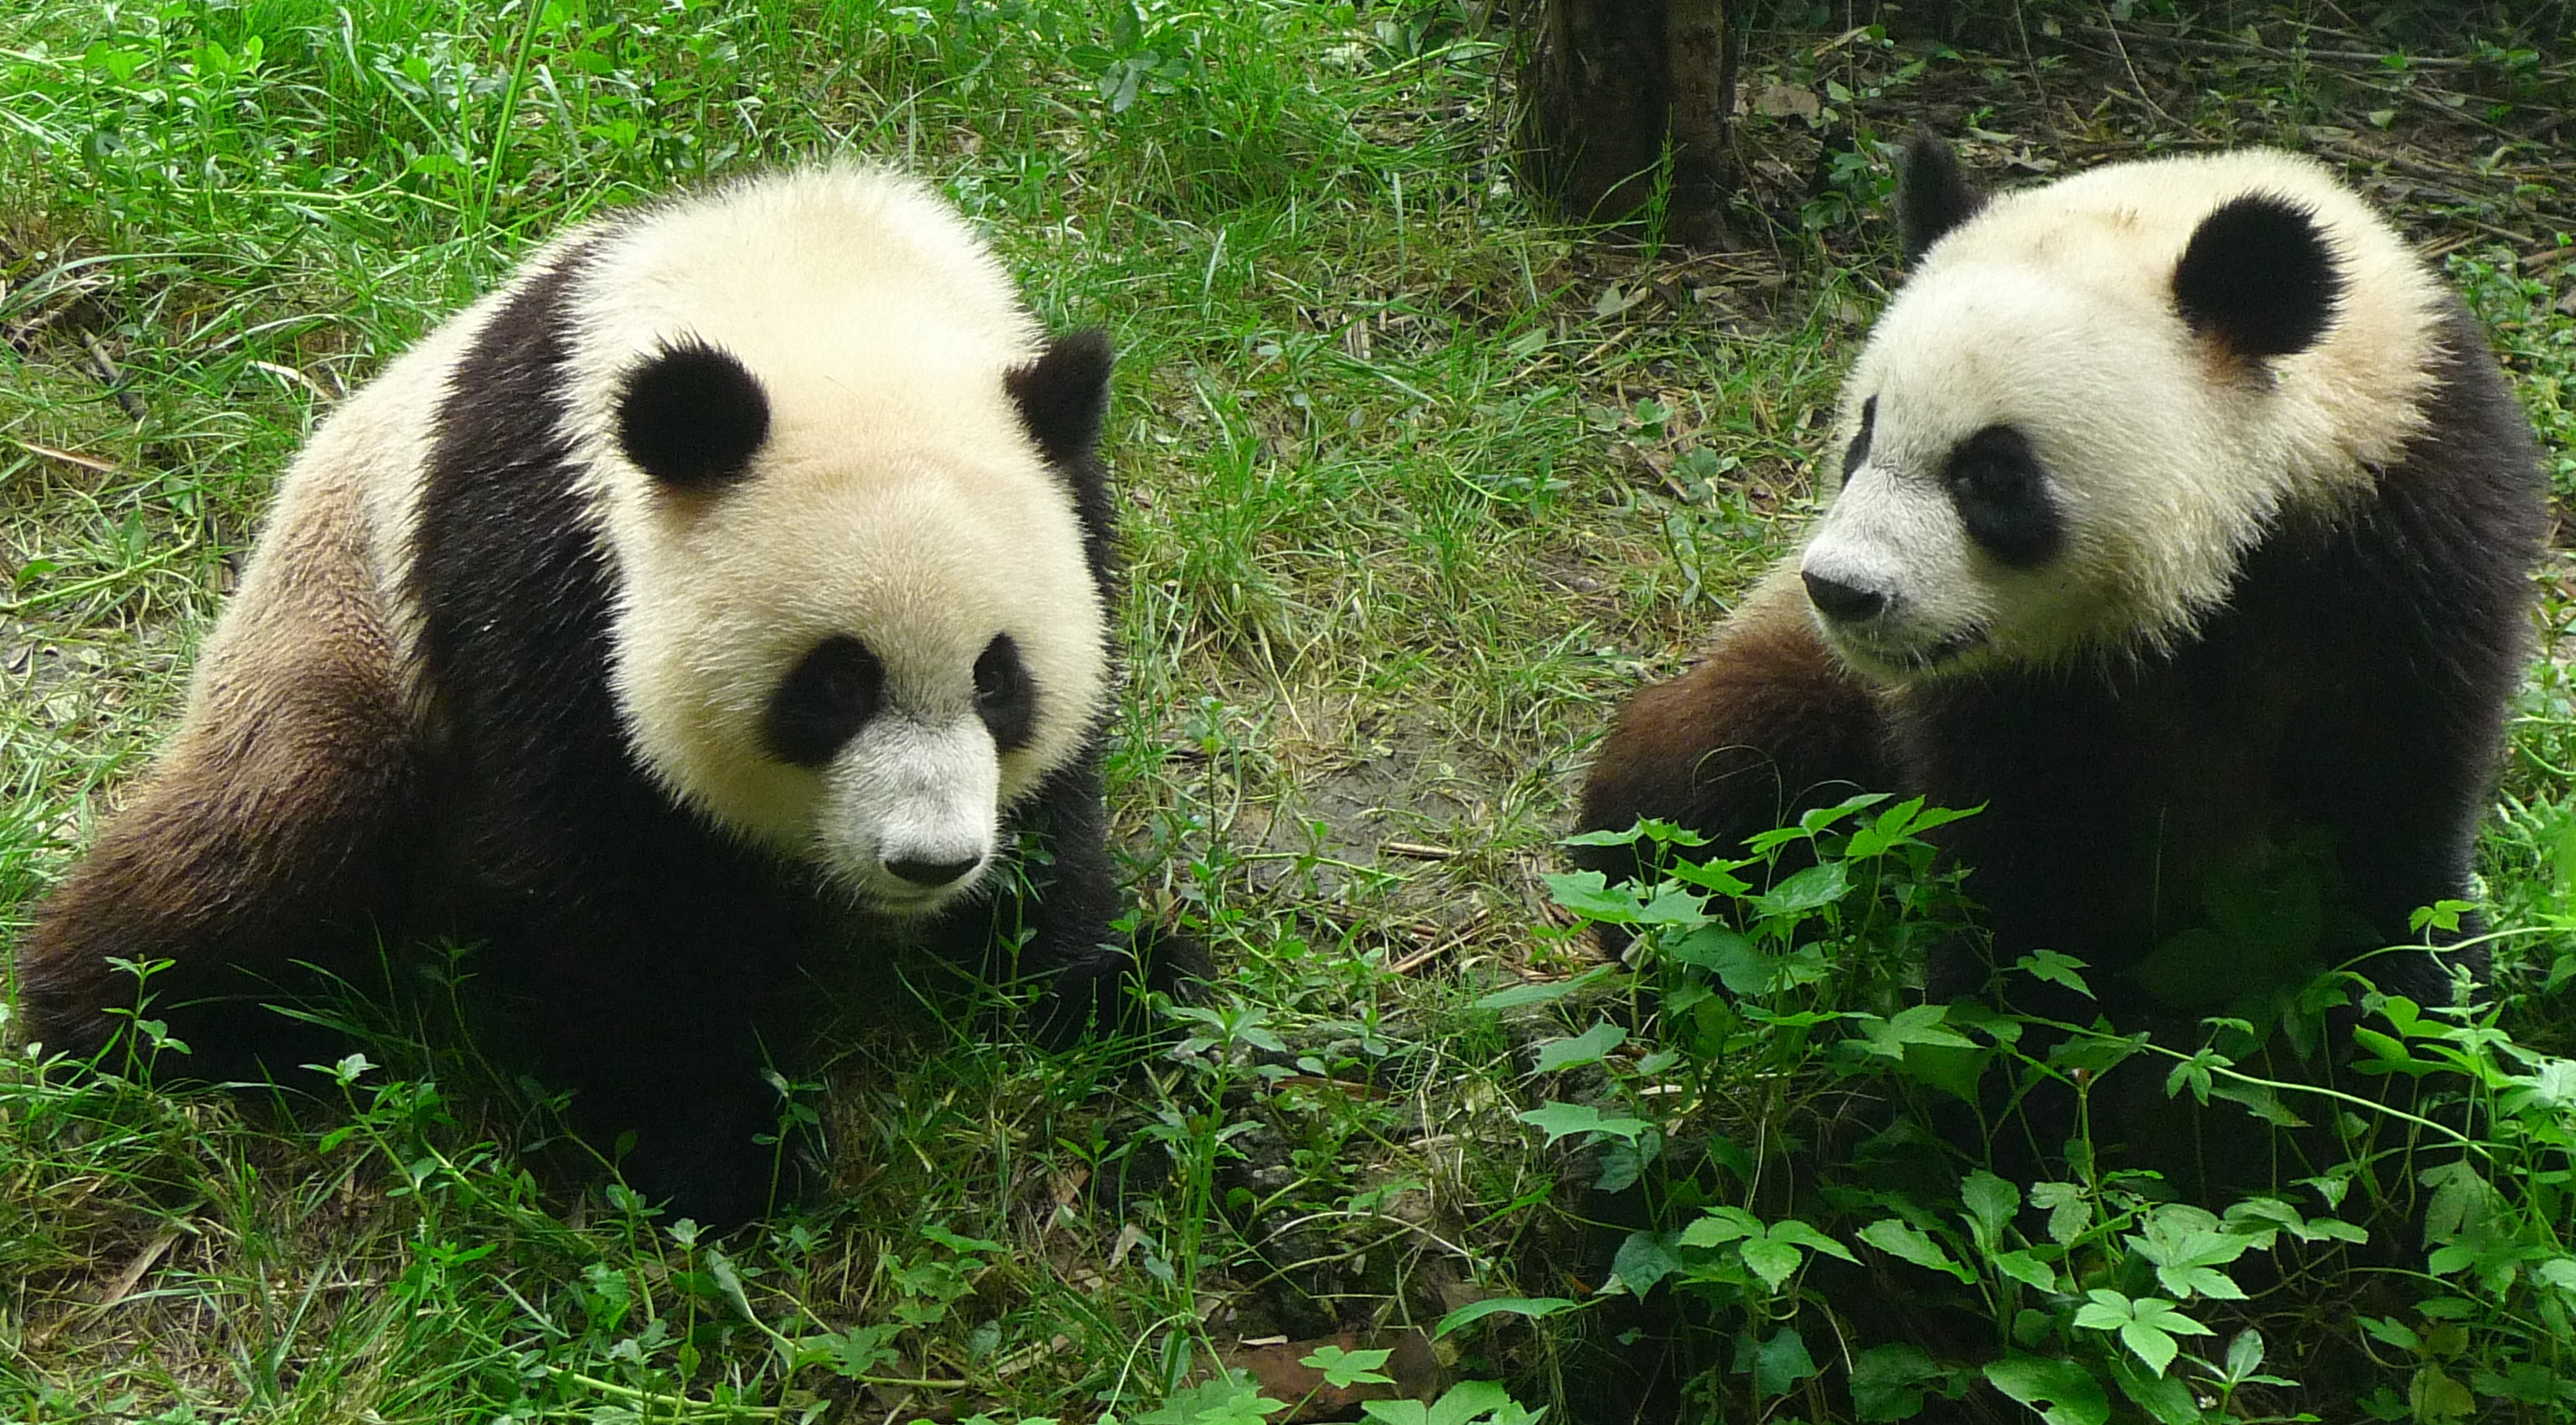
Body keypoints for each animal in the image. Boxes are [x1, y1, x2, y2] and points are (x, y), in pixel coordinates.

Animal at [14, 166, 1200, 1225]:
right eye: (832, 685)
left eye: (998, 678)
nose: (930, 862)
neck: (824, 292)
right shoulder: (546, 538)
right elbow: (592, 853)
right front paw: (721, 1146)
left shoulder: (1076, 506)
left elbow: (1060, 809)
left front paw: (1118, 988)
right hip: (339, 614)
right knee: (281, 814)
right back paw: (132, 1016)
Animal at [1578, 136, 2546, 1046]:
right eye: (1862, 434)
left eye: (1993, 474)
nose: (1842, 590)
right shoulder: (2008, 690)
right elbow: (2029, 858)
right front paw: (2019, 1040)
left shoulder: (2401, 538)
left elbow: (2395, 800)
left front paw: (2409, 1015)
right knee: (1695, 785)